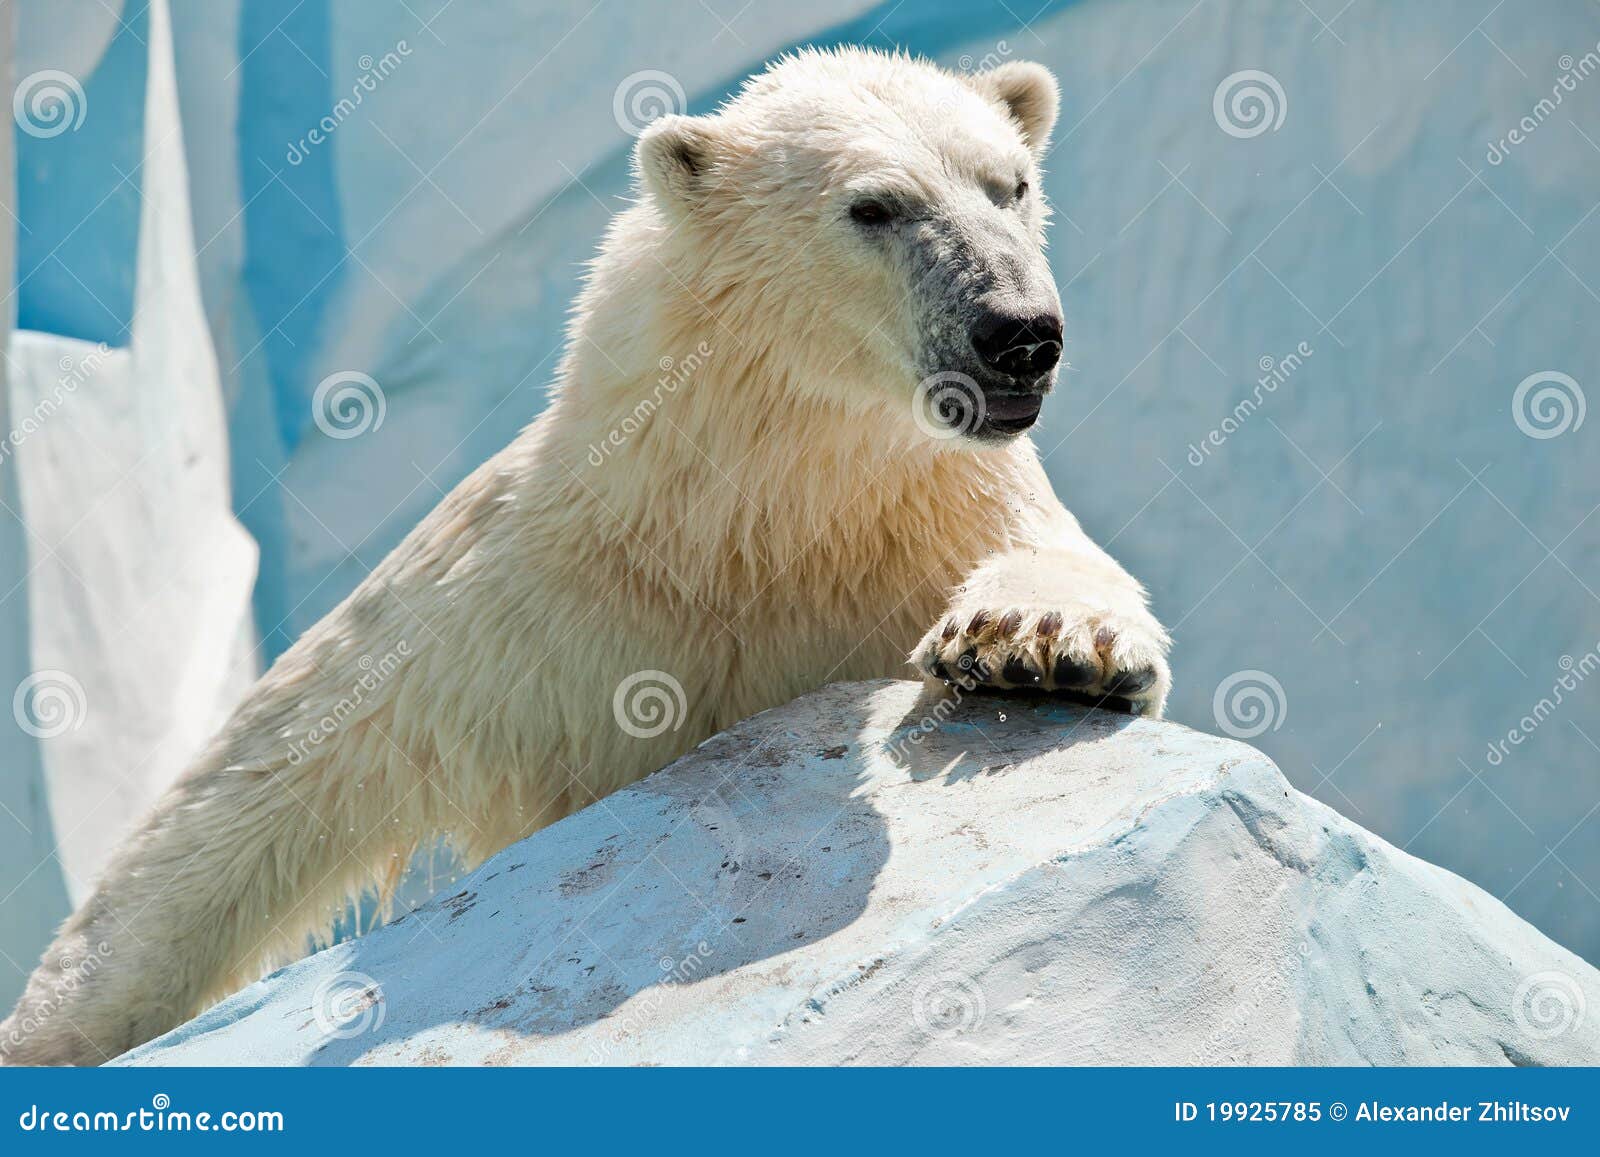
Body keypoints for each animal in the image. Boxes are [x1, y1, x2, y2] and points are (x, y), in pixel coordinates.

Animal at [1, 47, 1169, 1065]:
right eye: (873, 206)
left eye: (1010, 183)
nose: (1018, 331)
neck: (753, 523)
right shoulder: (520, 592)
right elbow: (274, 768)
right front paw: (58, 1030)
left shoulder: (944, 513)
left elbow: (1055, 563)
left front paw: (1038, 642)